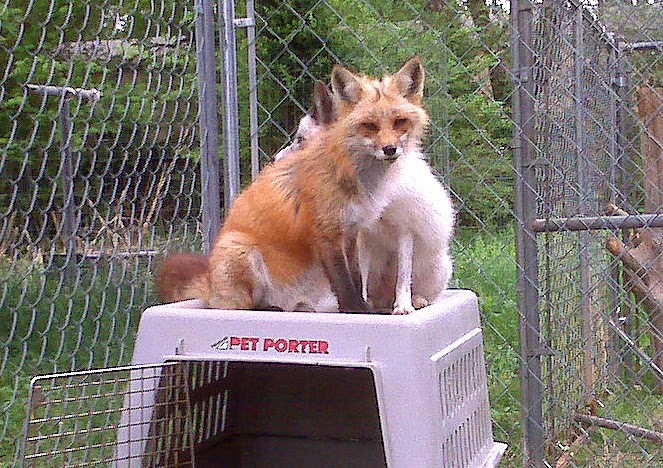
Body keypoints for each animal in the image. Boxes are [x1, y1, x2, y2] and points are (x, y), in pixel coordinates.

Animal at [157, 56, 429, 313]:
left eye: (399, 122)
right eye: (369, 126)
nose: (390, 149)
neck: (353, 174)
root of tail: (211, 286)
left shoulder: (350, 231)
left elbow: (354, 275)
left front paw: (364, 308)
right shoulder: (324, 233)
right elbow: (343, 282)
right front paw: (358, 311)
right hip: (242, 250)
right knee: (238, 305)